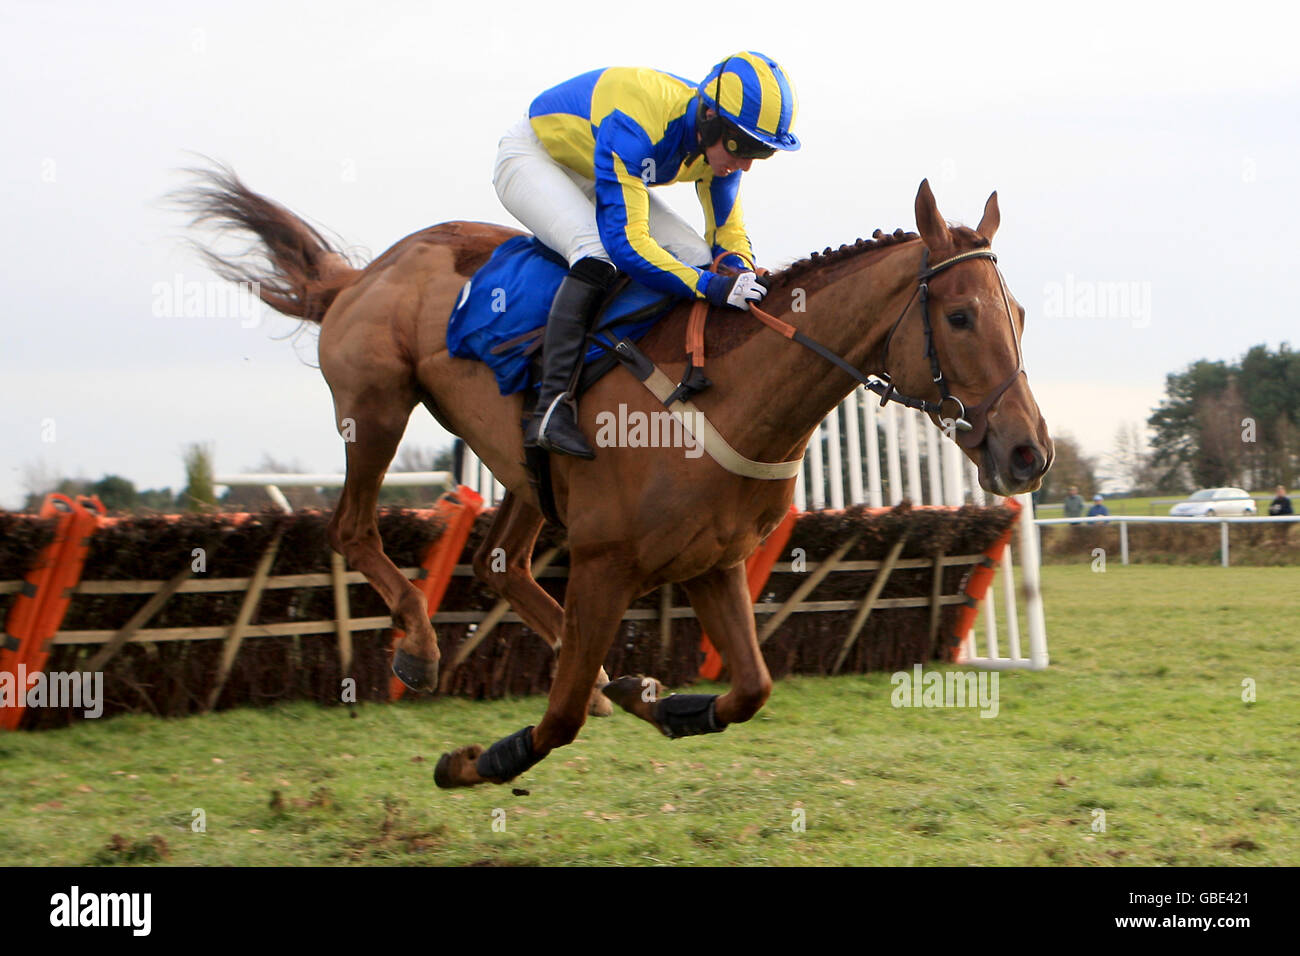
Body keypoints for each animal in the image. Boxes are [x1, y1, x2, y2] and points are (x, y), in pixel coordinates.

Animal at [182, 169, 1052, 788]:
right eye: (961, 317)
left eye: (1018, 315)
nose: (1029, 453)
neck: (730, 395)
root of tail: (360, 274)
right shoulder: (604, 566)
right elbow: (559, 718)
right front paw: (475, 762)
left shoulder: (715, 564)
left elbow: (753, 688)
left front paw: (663, 703)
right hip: (376, 404)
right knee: (353, 528)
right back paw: (423, 649)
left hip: (522, 472)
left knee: (500, 563)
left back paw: (617, 681)